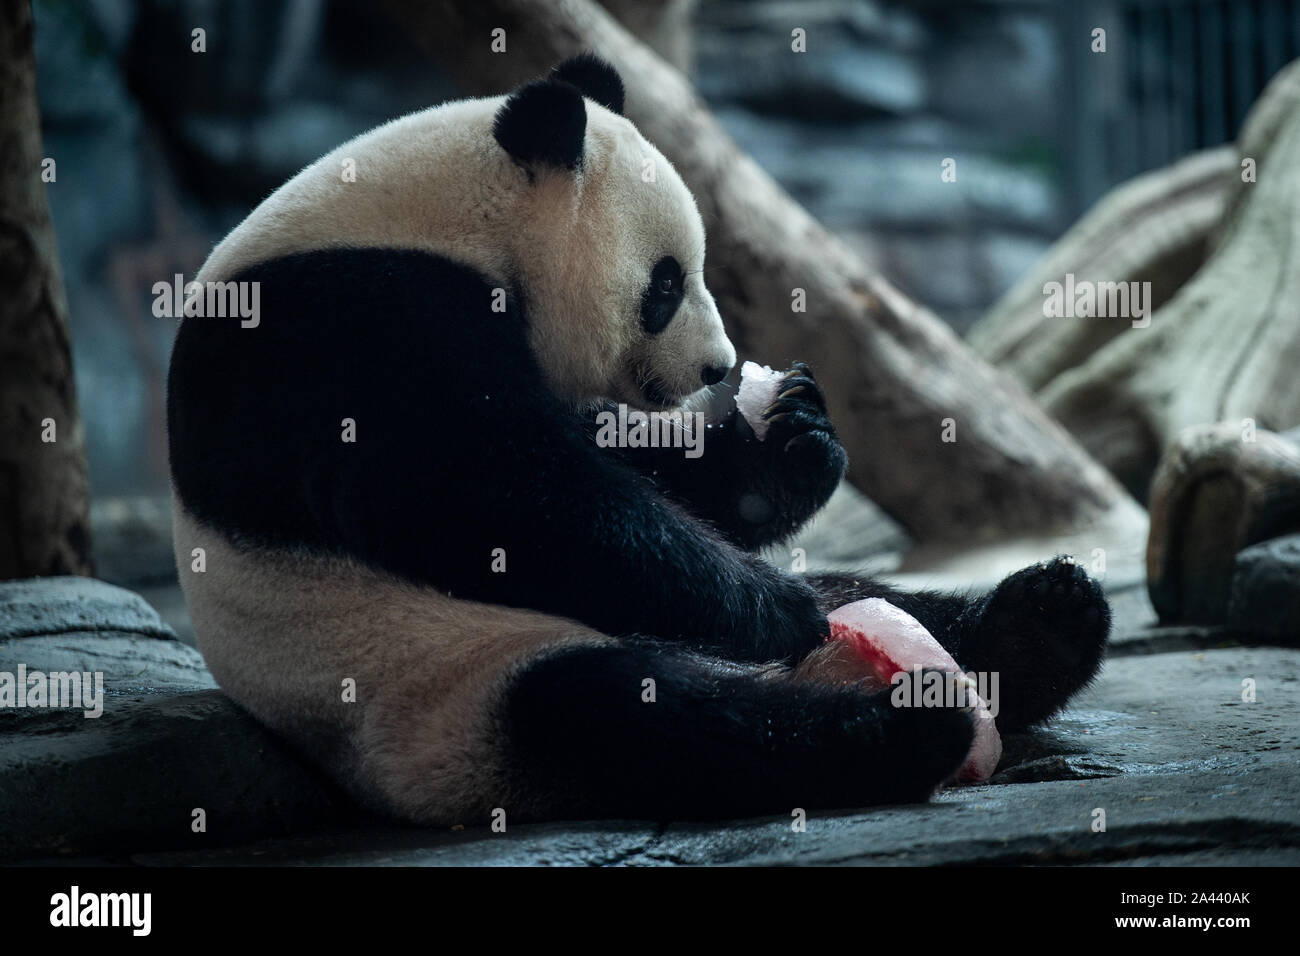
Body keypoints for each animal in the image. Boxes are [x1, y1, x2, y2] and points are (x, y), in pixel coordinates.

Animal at [167, 55, 1110, 824]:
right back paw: (905, 723)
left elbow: (636, 468)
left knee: (879, 599)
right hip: (439, 690)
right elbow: (492, 493)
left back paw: (1041, 626)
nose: (718, 364)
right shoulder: (347, 327)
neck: (438, 215)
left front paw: (795, 441)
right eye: (665, 285)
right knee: (639, 716)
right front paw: (771, 606)